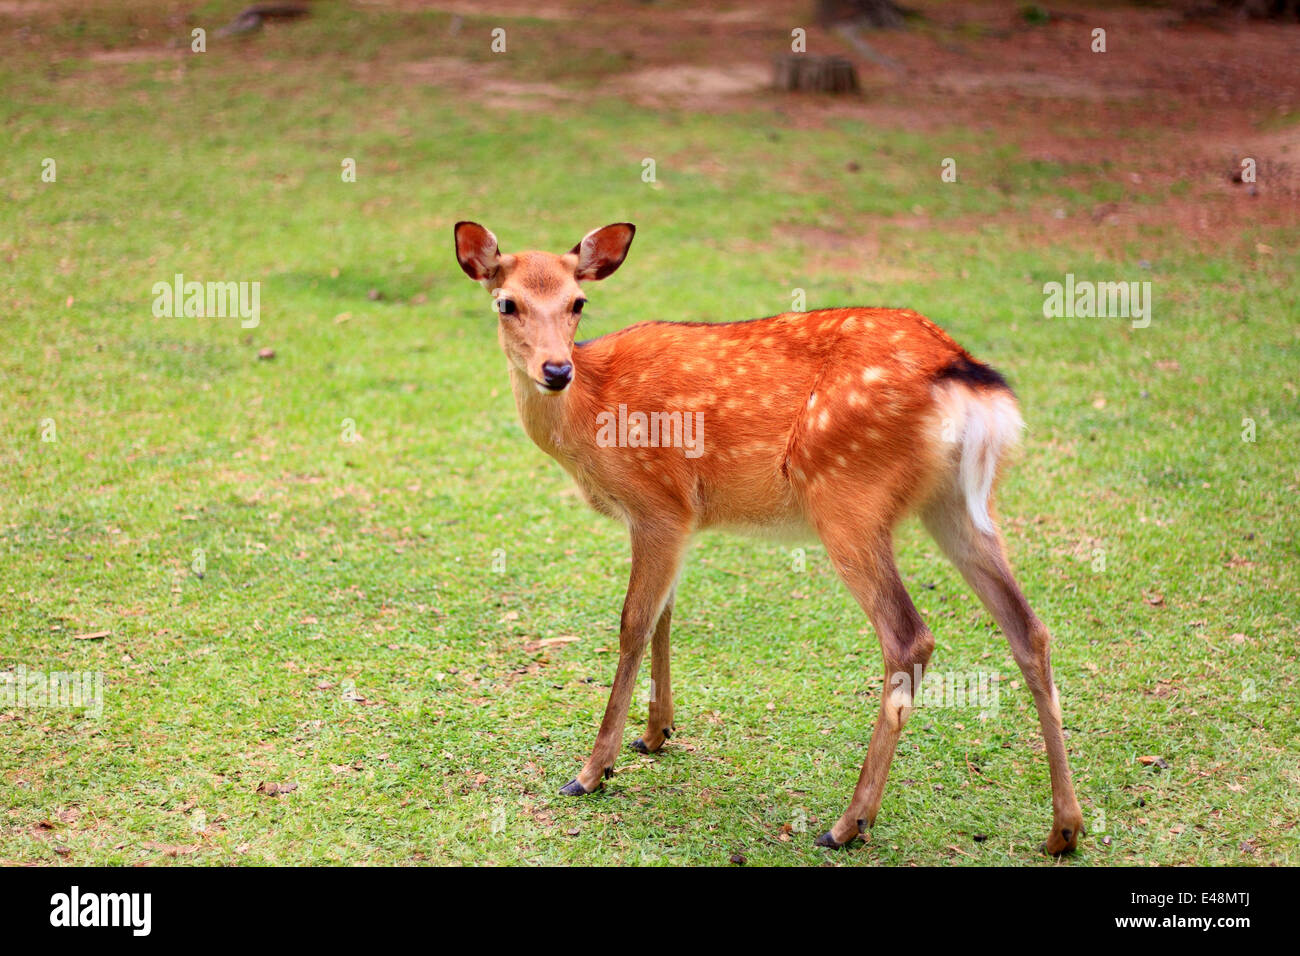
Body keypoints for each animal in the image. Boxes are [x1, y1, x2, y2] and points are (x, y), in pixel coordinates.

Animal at [453, 220, 1084, 854]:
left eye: (578, 302)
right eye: (507, 303)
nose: (556, 370)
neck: (590, 413)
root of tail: (967, 378)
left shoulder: (657, 503)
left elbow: (633, 623)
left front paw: (592, 771)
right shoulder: (682, 520)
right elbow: (664, 618)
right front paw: (655, 734)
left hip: (847, 497)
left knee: (910, 638)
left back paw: (847, 823)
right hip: (959, 506)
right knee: (1031, 630)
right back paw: (1063, 829)